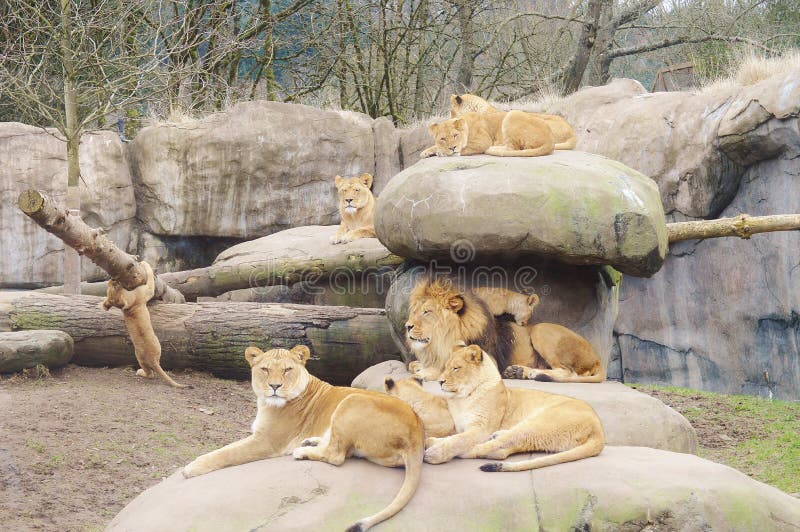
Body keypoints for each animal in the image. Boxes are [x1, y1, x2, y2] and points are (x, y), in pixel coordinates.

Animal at [182, 345, 424, 532]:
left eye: (287, 370)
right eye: (265, 369)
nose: (275, 386)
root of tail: (417, 433)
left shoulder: (267, 441)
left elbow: (227, 452)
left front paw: (192, 467)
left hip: (351, 399)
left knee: (337, 455)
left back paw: (302, 451)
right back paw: (310, 442)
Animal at [405, 277, 605, 383]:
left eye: (427, 312)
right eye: (414, 311)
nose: (407, 326)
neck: (441, 341)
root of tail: (597, 358)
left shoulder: (489, 362)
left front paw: (425, 373)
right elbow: (413, 364)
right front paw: (421, 368)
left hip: (541, 331)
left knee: (567, 372)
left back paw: (531, 373)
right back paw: (518, 372)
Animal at [419, 110, 554, 158]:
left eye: (455, 135)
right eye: (443, 138)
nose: (452, 147)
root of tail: (550, 140)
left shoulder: (483, 142)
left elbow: (465, 148)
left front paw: (442, 152)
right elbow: (435, 146)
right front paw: (426, 152)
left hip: (512, 114)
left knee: (513, 148)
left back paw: (495, 148)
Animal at [420, 344, 605, 471]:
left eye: (456, 368)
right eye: (445, 367)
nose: (440, 382)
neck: (461, 399)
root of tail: (598, 426)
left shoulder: (481, 428)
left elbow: (459, 440)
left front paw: (439, 452)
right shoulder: (461, 426)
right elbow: (456, 436)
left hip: (540, 422)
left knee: (498, 445)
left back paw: (432, 449)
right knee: (508, 446)